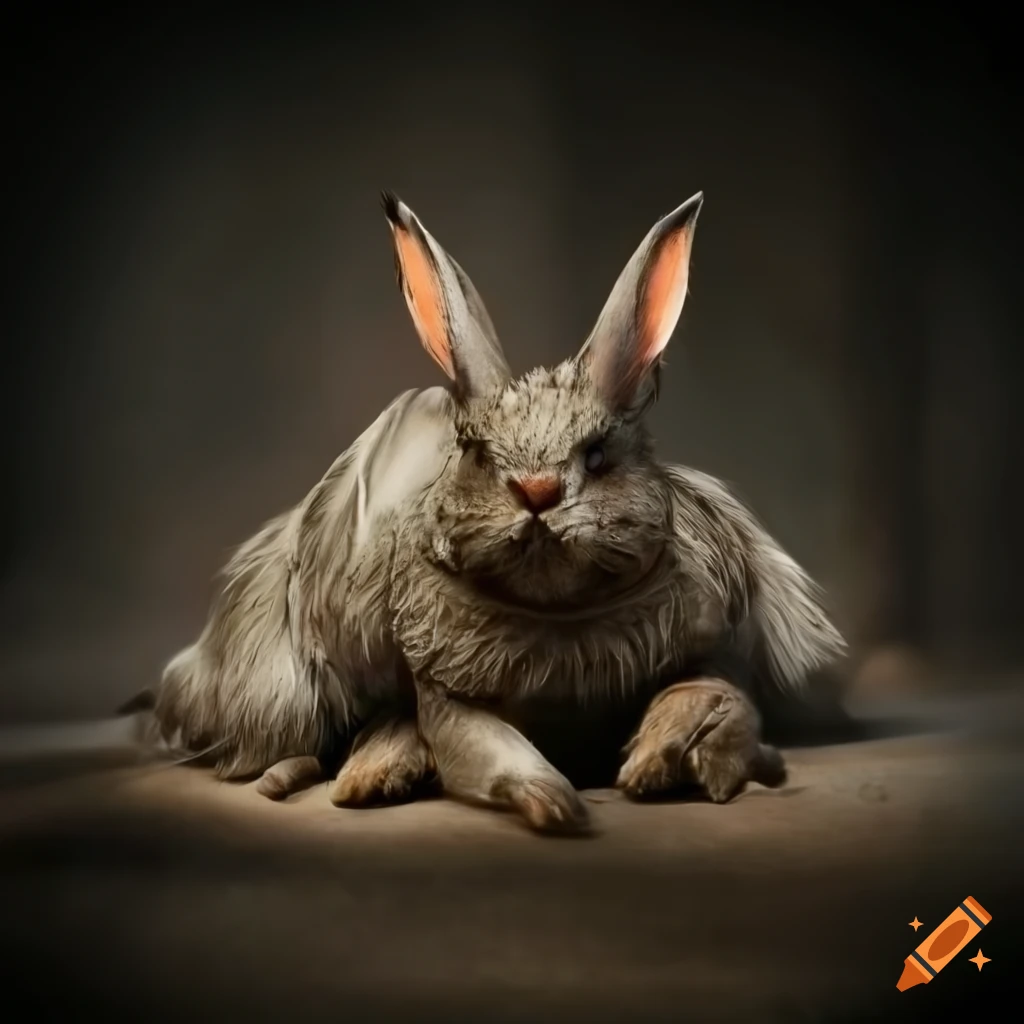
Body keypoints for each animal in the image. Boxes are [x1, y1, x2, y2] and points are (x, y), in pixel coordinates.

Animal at [116, 189, 846, 834]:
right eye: (472, 451)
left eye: (600, 454)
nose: (537, 491)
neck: (558, 615)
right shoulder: (447, 697)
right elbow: (486, 750)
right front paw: (558, 804)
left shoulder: (717, 654)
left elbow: (716, 697)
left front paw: (669, 758)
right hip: (285, 690)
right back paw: (360, 776)